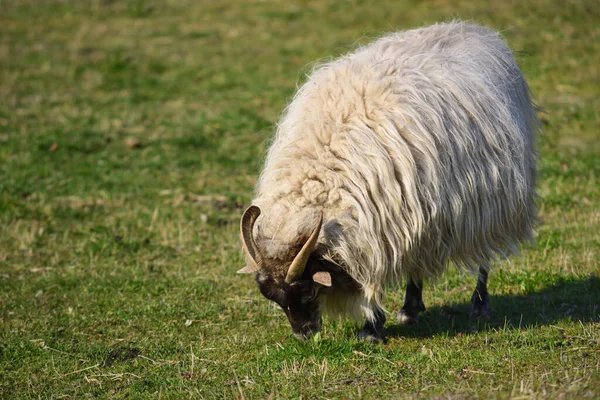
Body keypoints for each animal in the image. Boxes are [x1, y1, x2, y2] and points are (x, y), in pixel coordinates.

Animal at [238, 20, 540, 342]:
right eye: (273, 298)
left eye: (307, 292)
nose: (305, 336)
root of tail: (476, 30)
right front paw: (392, 316)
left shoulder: (379, 230)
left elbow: (375, 280)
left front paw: (372, 329)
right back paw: (411, 308)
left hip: (492, 197)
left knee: (482, 252)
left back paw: (479, 303)